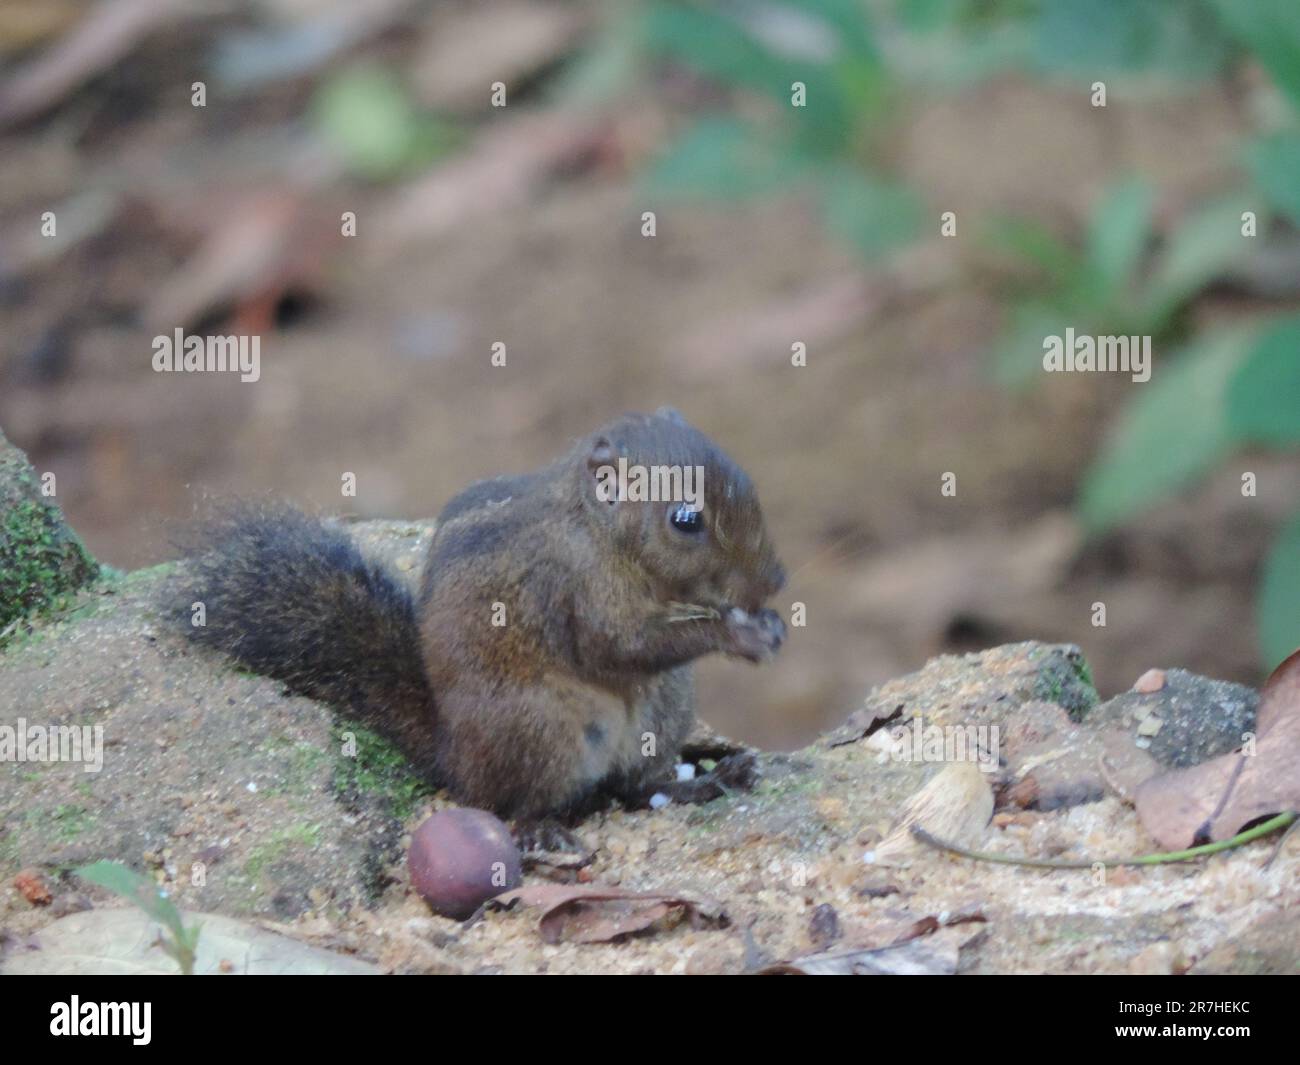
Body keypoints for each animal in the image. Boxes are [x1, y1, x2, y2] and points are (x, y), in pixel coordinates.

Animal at [175, 408, 786, 824]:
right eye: (685, 519)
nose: (776, 581)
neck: (597, 532)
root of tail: (452, 756)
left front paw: (769, 626)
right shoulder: (573, 587)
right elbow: (617, 647)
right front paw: (738, 633)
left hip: (664, 708)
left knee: (637, 787)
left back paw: (701, 782)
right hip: (537, 725)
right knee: (510, 805)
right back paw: (542, 834)